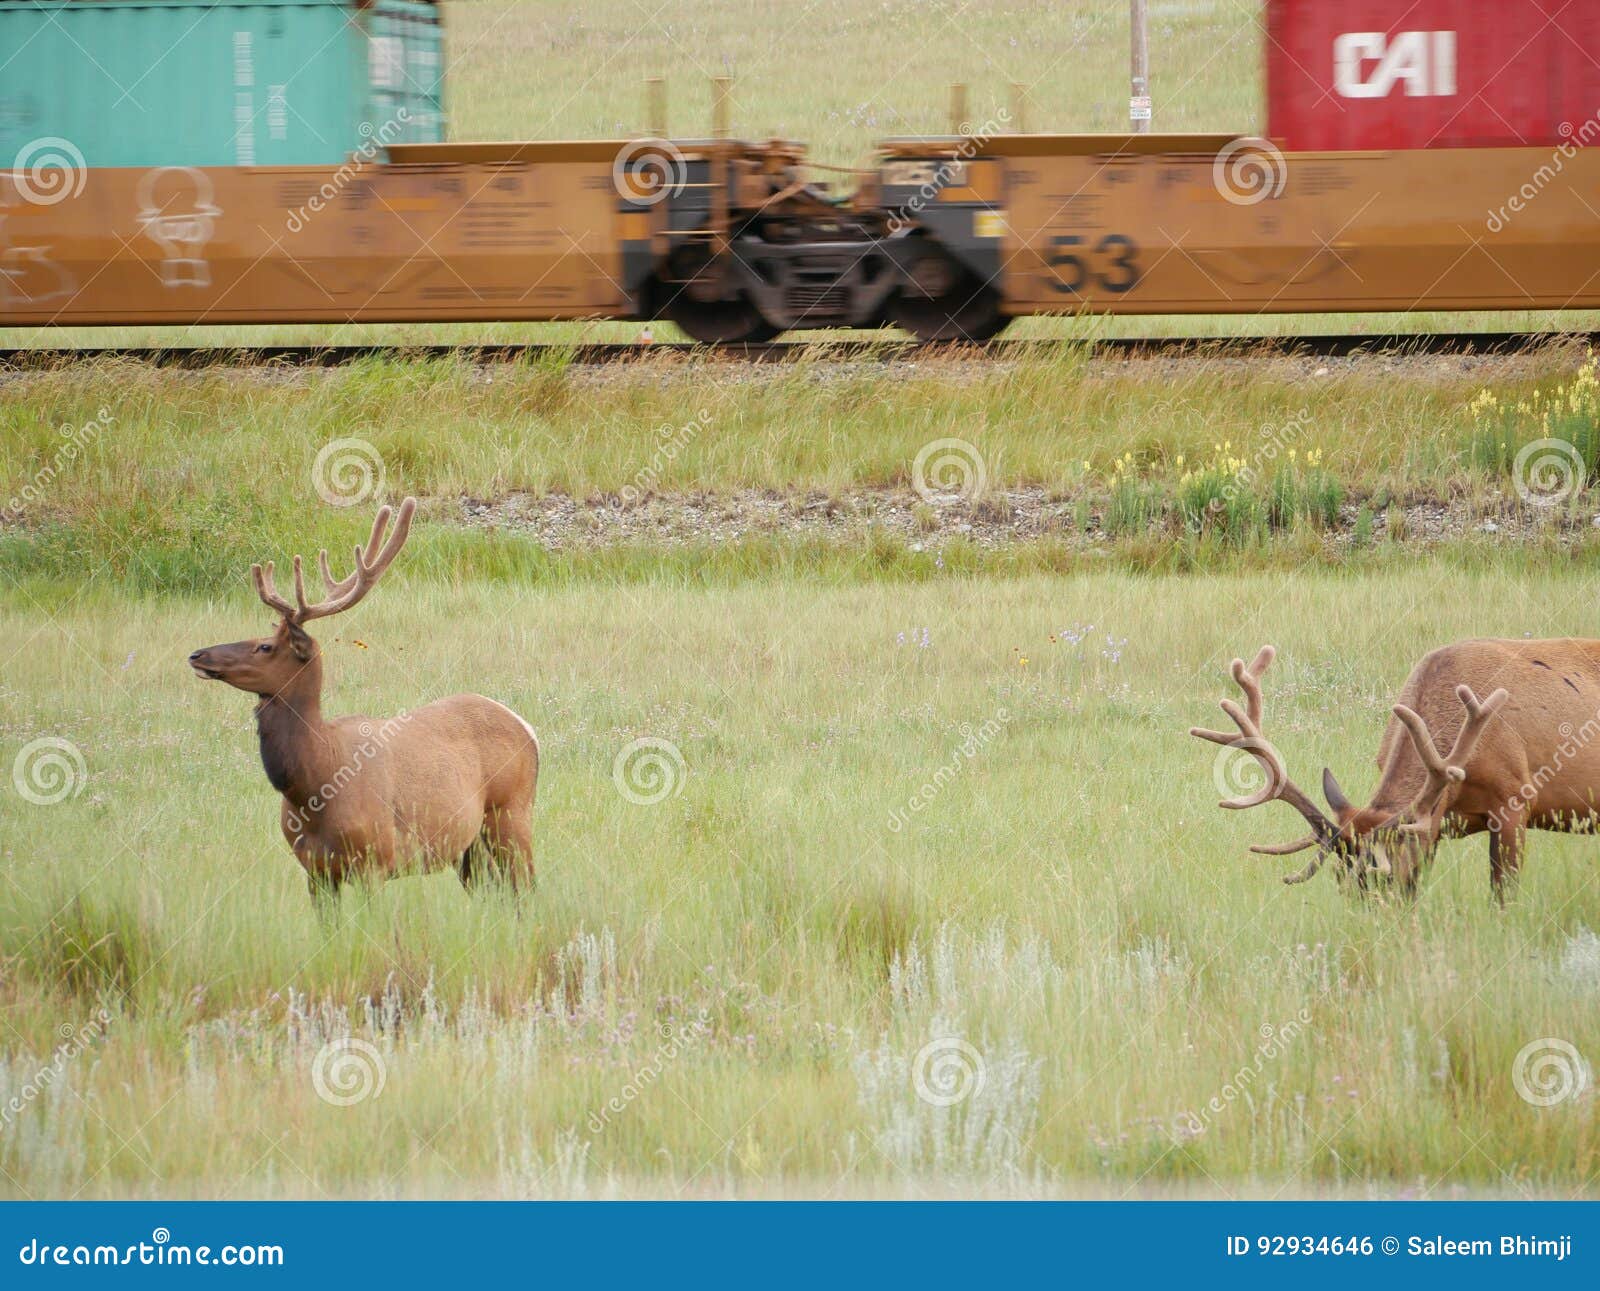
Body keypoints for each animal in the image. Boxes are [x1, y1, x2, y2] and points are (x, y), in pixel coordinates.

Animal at [187, 498, 539, 909]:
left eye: (265, 646)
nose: (197, 654)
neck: (315, 785)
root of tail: (526, 727)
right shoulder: (315, 872)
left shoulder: (377, 859)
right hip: (469, 847)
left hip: (512, 812)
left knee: (527, 888)